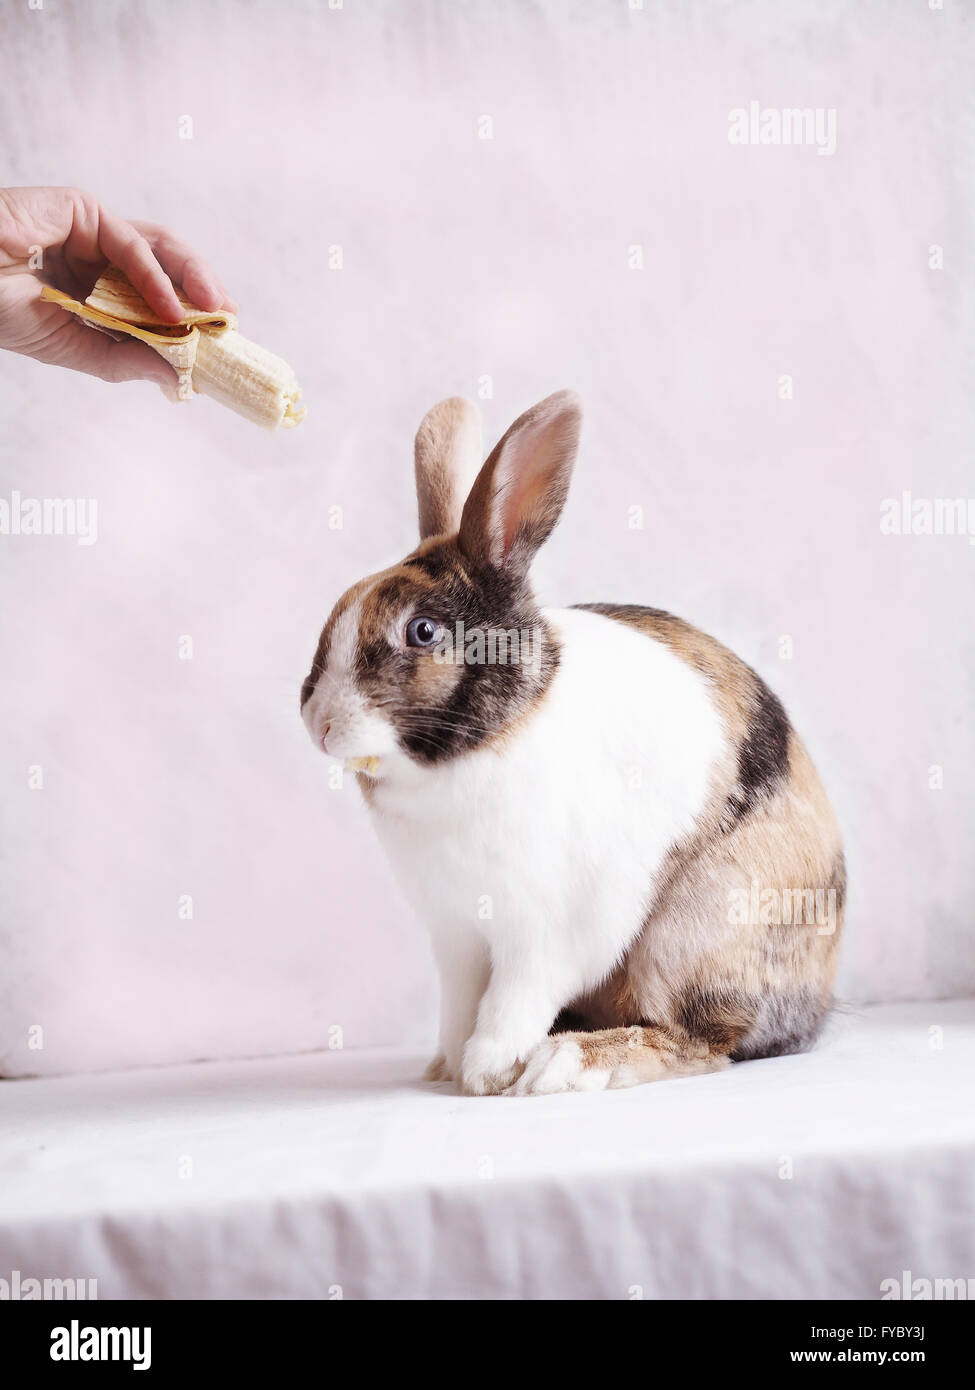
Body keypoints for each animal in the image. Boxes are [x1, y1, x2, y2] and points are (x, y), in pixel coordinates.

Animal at [301, 391, 845, 1096]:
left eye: (421, 631)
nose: (319, 722)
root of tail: (815, 1006)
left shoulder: (546, 931)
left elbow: (513, 1001)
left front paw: (490, 1072)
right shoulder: (456, 935)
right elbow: (461, 1002)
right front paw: (448, 1069)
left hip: (696, 931)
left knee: (697, 1040)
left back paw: (571, 1061)